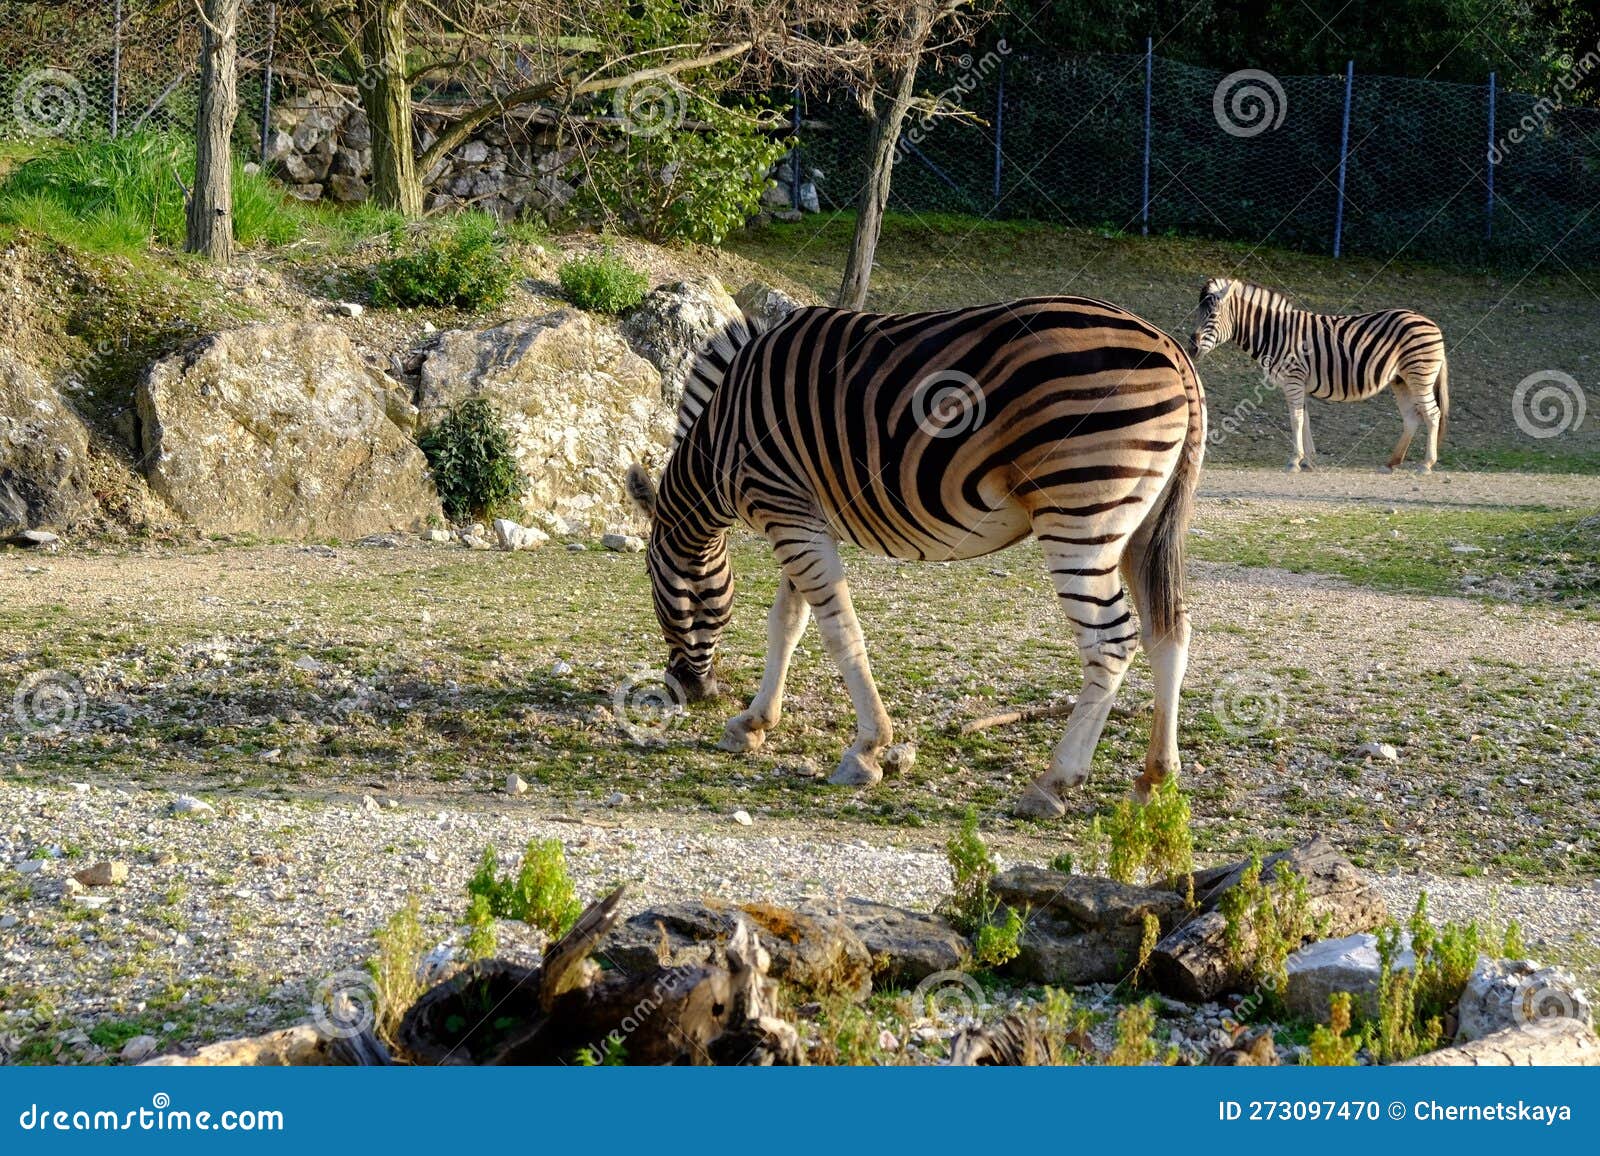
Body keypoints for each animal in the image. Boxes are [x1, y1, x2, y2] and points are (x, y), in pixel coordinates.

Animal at [623, 296, 1207, 817]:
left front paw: (866, 750)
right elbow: (787, 622)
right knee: (1169, 631)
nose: (688, 690)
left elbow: (838, 630)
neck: (721, 437)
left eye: (654, 583)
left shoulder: (785, 510)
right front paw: (754, 723)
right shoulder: (803, 517)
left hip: (1080, 515)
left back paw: (1052, 784)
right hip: (1143, 526)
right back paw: (1156, 780)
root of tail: (1174, 350)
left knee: (1111, 642)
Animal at [1187, 277, 1449, 473]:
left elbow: (1296, 419)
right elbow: (1305, 418)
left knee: (1432, 413)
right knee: (1411, 417)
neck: (1275, 333)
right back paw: (1392, 463)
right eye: (1196, 314)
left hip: (1419, 376)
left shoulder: (1293, 379)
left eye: (1212, 316)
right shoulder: (1298, 382)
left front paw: (1294, 460)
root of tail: (1432, 324)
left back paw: (1426, 464)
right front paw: (1309, 460)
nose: (1191, 348)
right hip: (1401, 380)